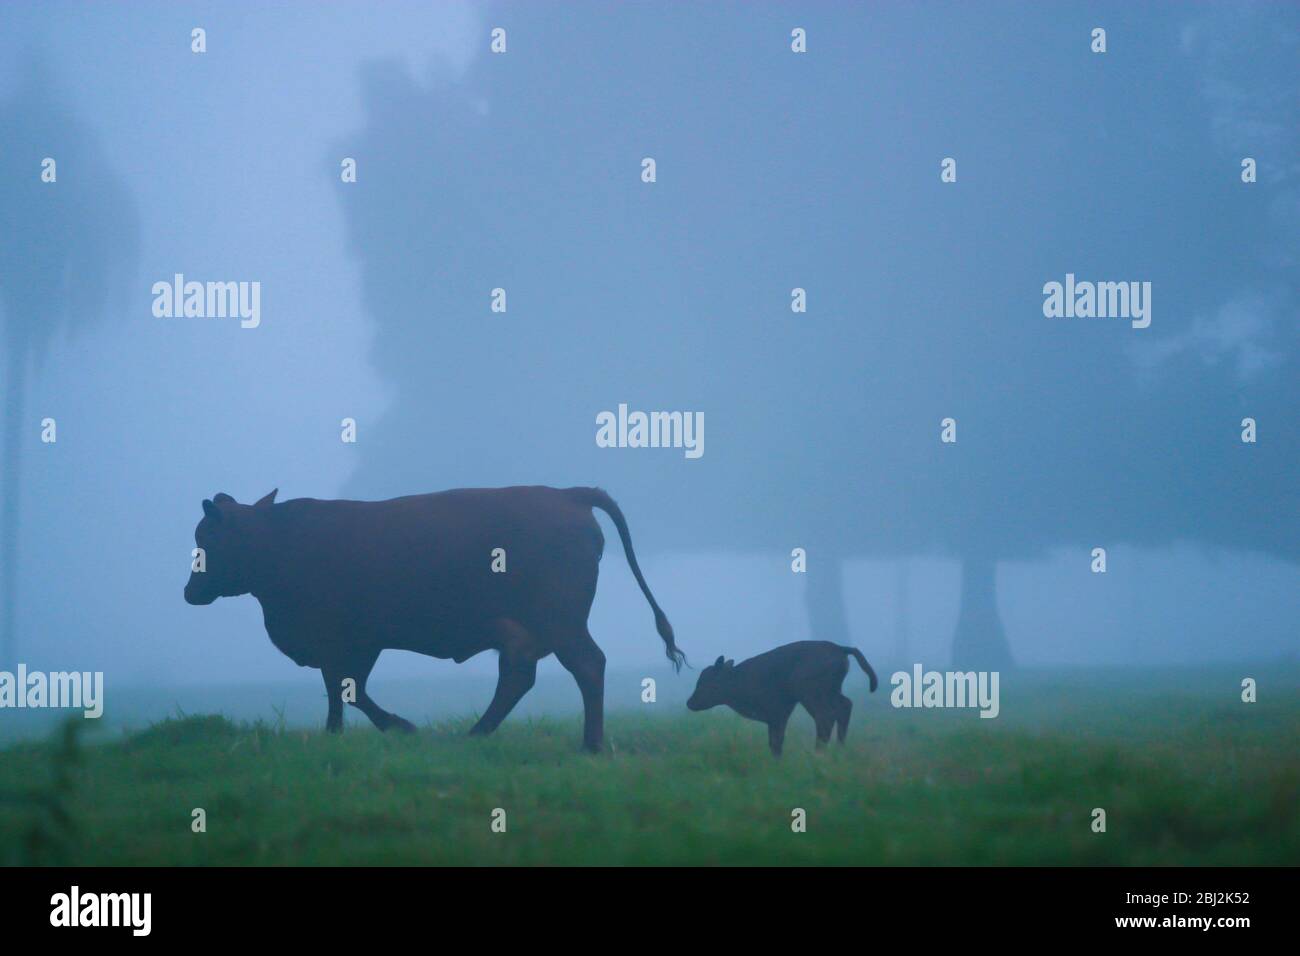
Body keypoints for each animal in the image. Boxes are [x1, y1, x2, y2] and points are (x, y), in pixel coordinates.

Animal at [184, 485, 683, 751]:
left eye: (205, 538)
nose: (189, 592)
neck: (278, 542)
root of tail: (565, 494)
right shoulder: (355, 643)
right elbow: (344, 689)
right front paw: (337, 733)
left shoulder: (346, 640)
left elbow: (346, 688)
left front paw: (395, 727)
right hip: (529, 629)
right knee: (518, 676)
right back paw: (479, 734)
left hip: (561, 622)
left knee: (586, 666)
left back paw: (590, 745)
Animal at [686, 641, 877, 756]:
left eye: (708, 682)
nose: (690, 703)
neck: (739, 678)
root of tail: (840, 648)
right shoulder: (777, 717)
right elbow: (774, 741)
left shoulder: (777, 713)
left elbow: (776, 742)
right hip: (832, 691)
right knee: (845, 706)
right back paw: (839, 748)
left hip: (811, 695)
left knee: (825, 717)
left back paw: (819, 751)